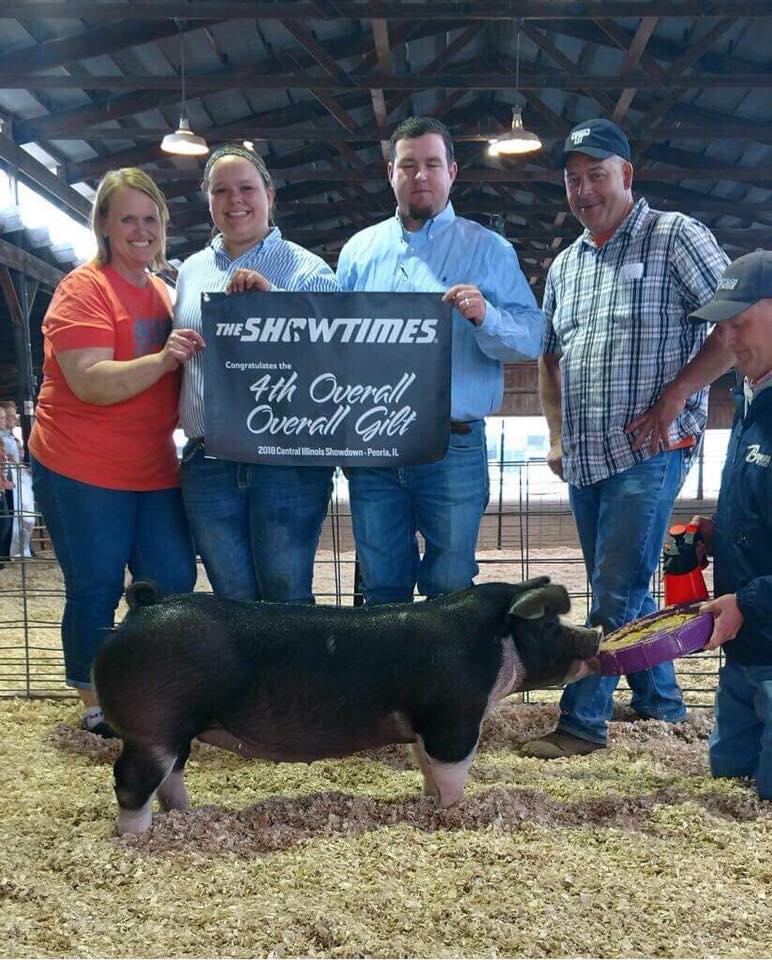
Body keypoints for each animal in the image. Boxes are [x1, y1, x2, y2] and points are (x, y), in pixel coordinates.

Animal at [93, 576, 600, 835]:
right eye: (550, 625)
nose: (593, 634)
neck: (491, 646)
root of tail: (142, 609)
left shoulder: (422, 727)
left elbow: (423, 765)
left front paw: (428, 802)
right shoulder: (453, 717)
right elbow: (452, 770)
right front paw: (453, 810)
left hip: (174, 731)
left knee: (170, 776)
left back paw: (186, 815)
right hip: (151, 727)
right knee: (131, 780)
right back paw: (137, 836)